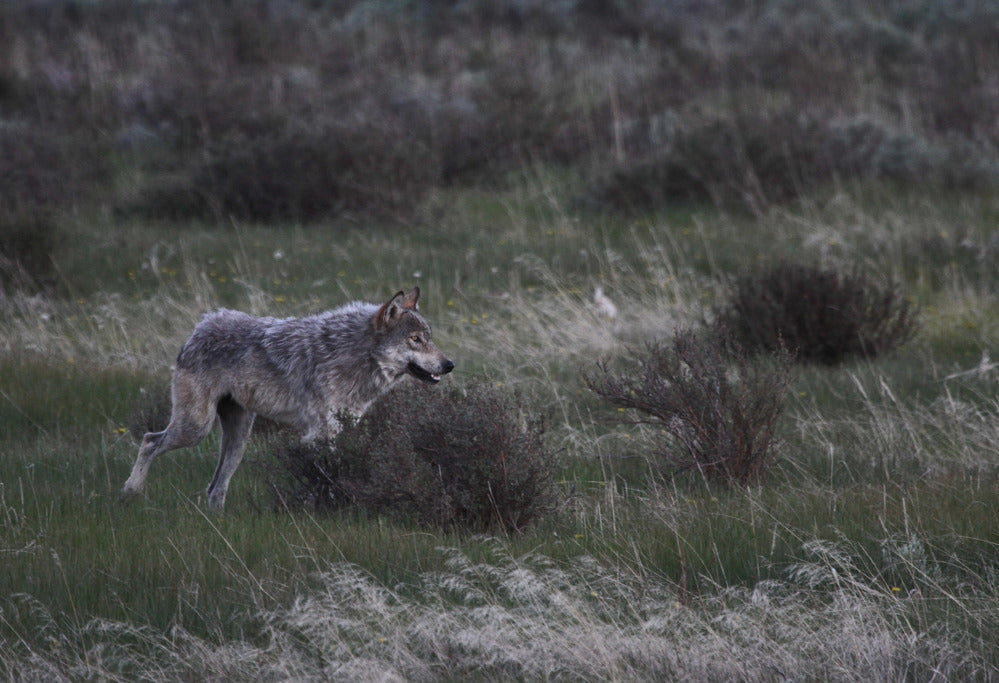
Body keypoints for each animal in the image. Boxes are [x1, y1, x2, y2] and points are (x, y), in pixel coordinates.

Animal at [120, 287, 453, 510]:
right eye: (415, 340)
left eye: (429, 338)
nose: (449, 364)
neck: (356, 355)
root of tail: (202, 325)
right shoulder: (322, 432)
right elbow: (326, 474)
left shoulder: (342, 428)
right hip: (196, 429)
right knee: (149, 440)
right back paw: (131, 490)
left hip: (238, 439)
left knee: (215, 487)